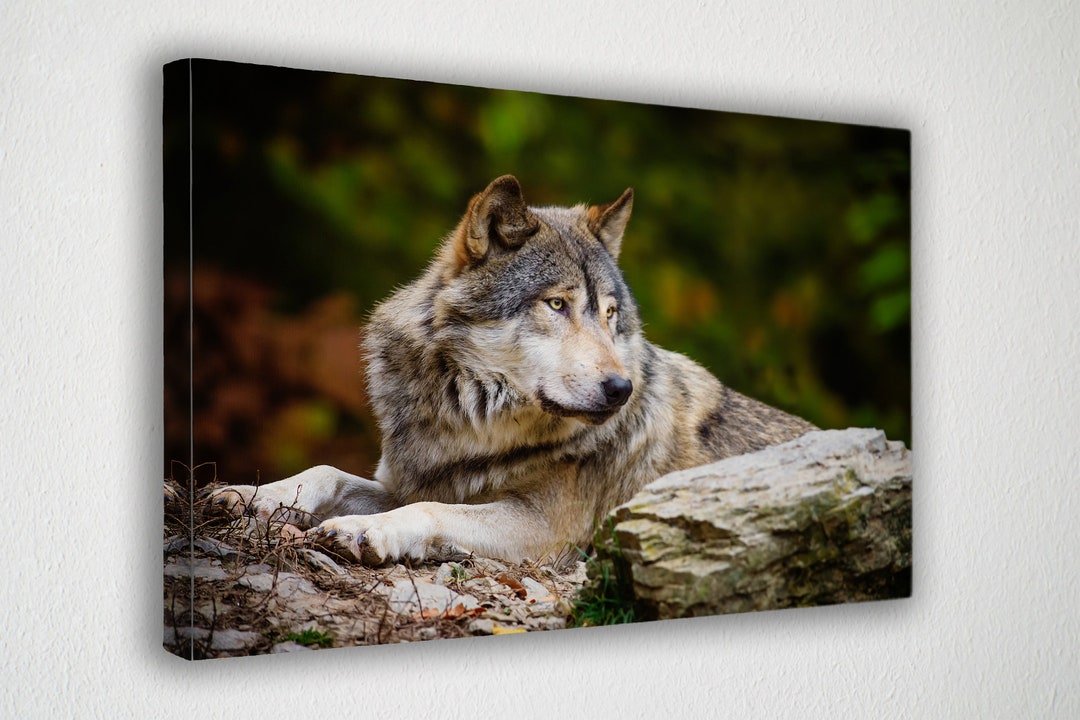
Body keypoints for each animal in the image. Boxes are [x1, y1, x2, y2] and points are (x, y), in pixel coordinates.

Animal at [213, 175, 815, 565]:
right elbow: (326, 473)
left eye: (610, 314)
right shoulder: (406, 479)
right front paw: (246, 494)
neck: (470, 422)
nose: (620, 388)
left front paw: (367, 531)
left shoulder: (544, 531)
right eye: (557, 305)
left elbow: (431, 510)